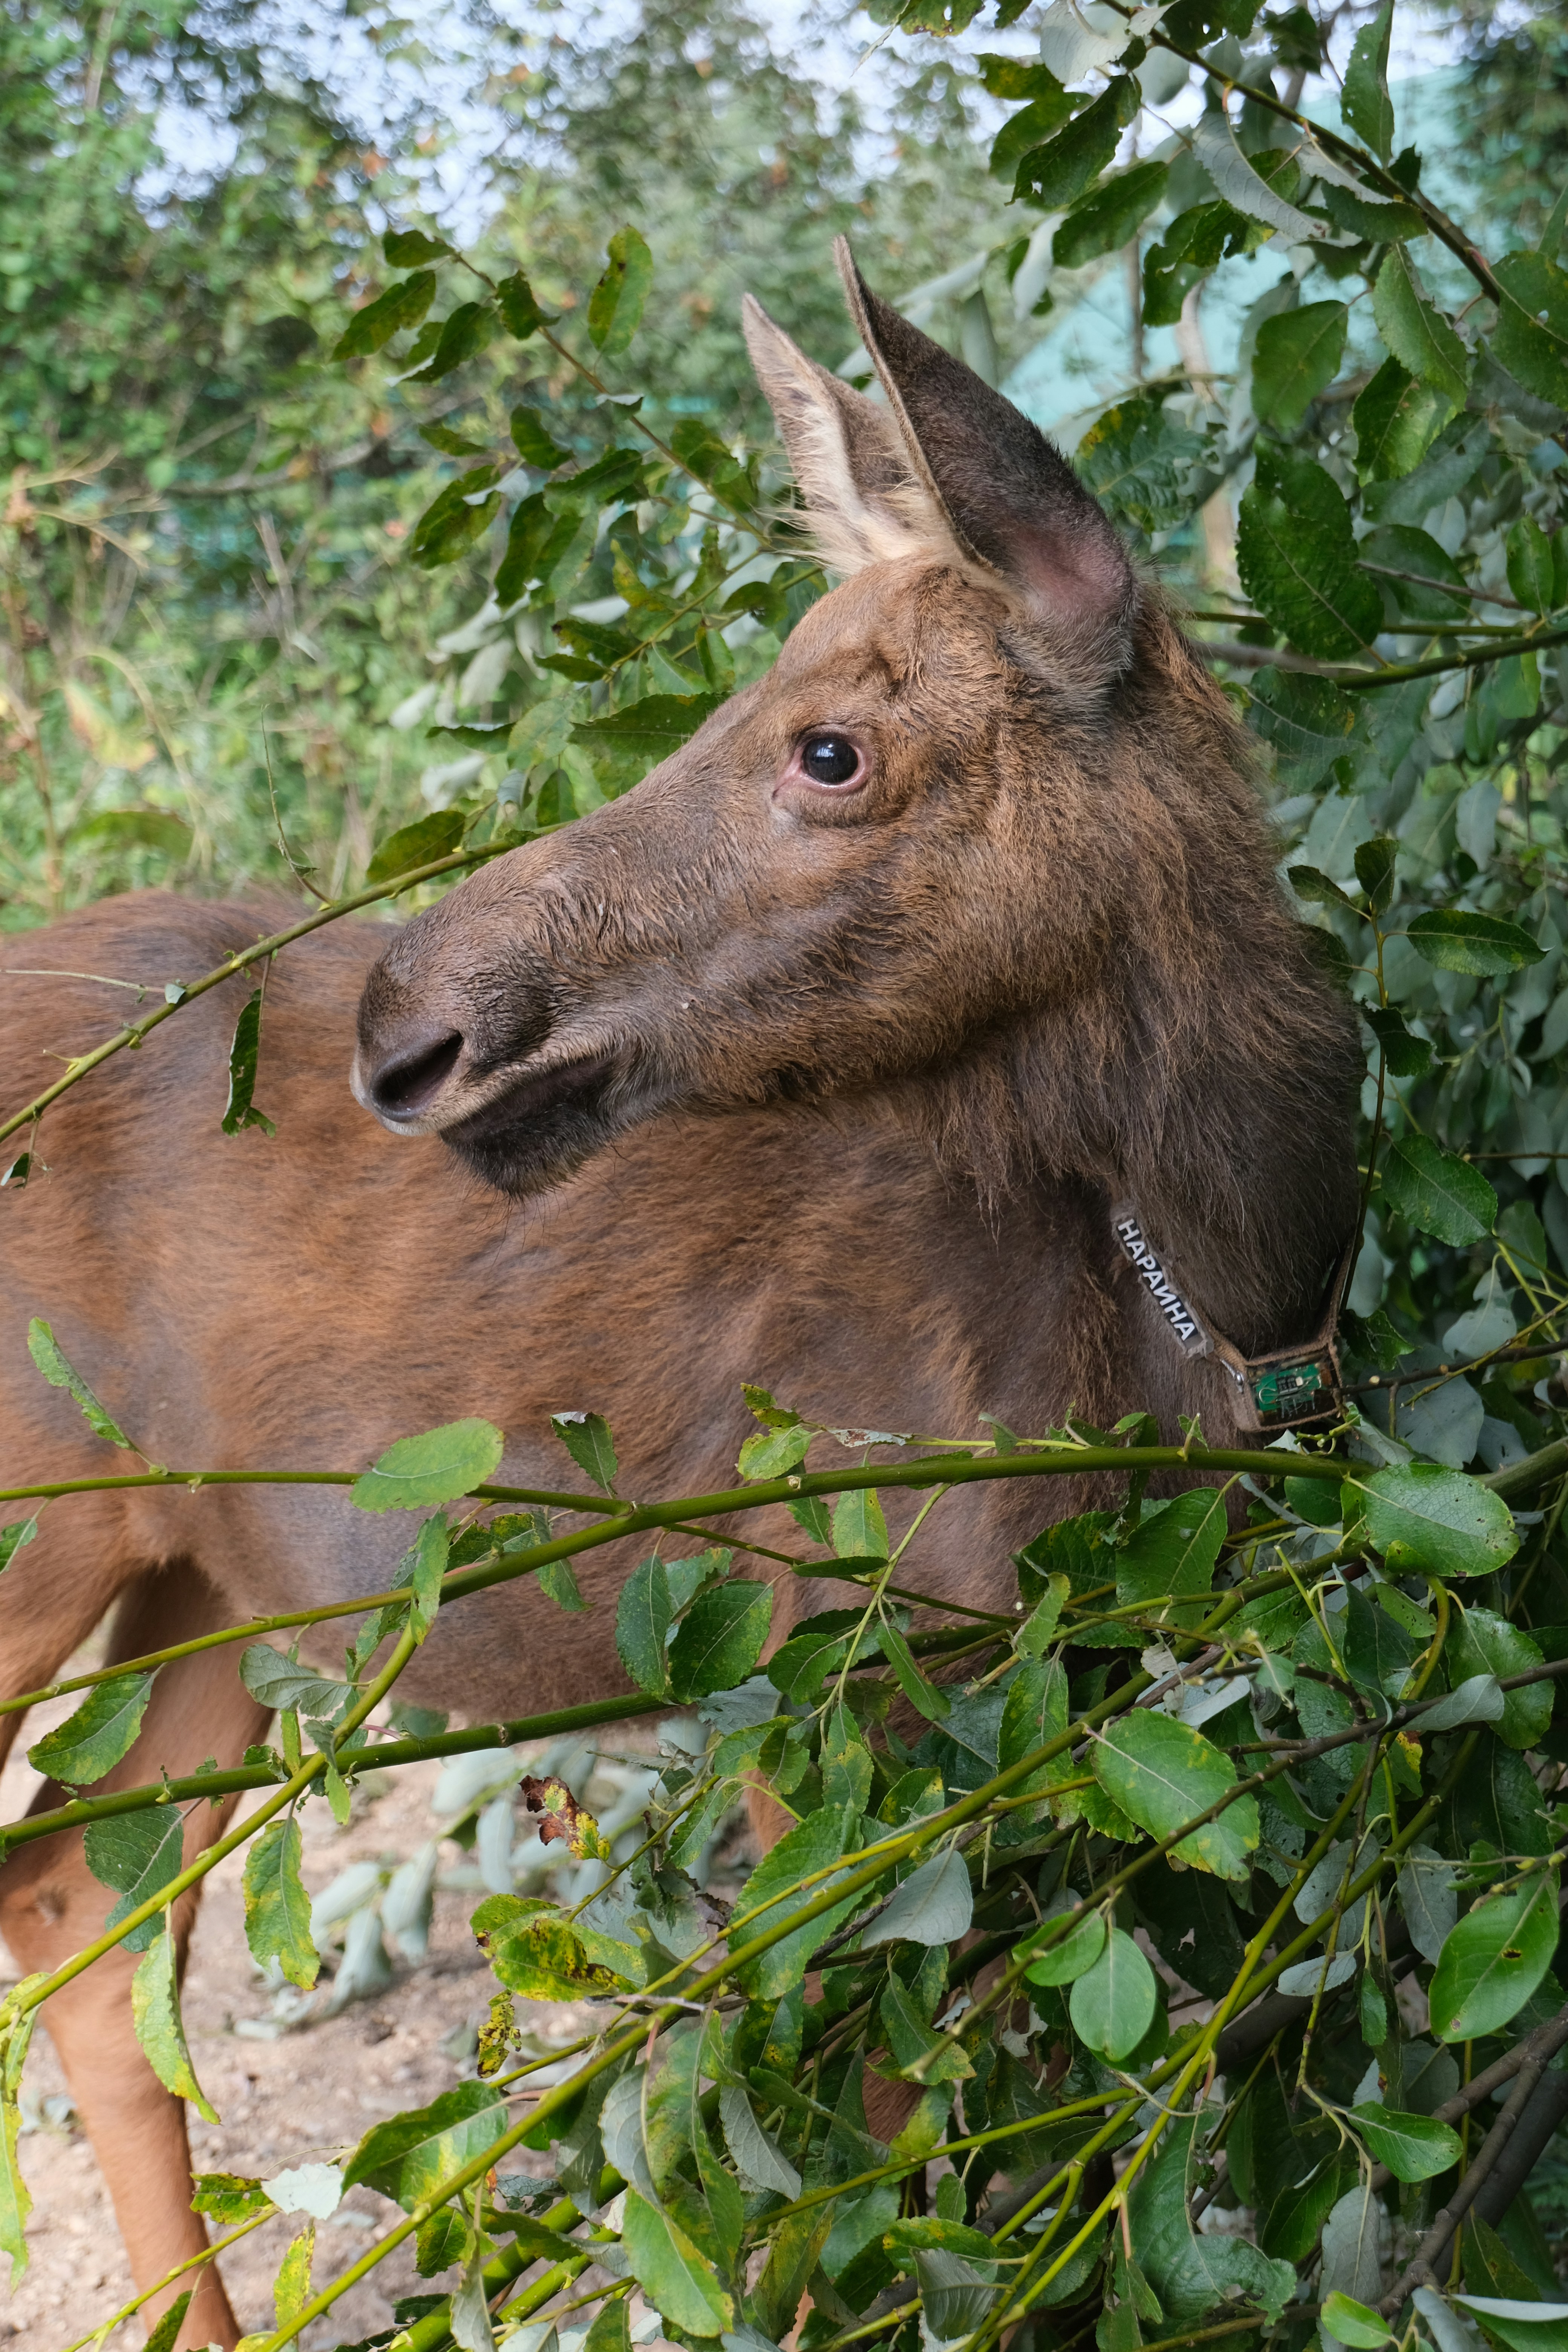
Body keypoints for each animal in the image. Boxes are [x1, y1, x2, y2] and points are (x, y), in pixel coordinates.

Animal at [0, 243, 1358, 2345]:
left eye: (831, 746)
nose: (408, 1022)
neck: (1218, 1300)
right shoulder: (834, 1648)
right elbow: (863, 2148)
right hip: (42, 1536)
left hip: (204, 1570)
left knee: (85, 1905)